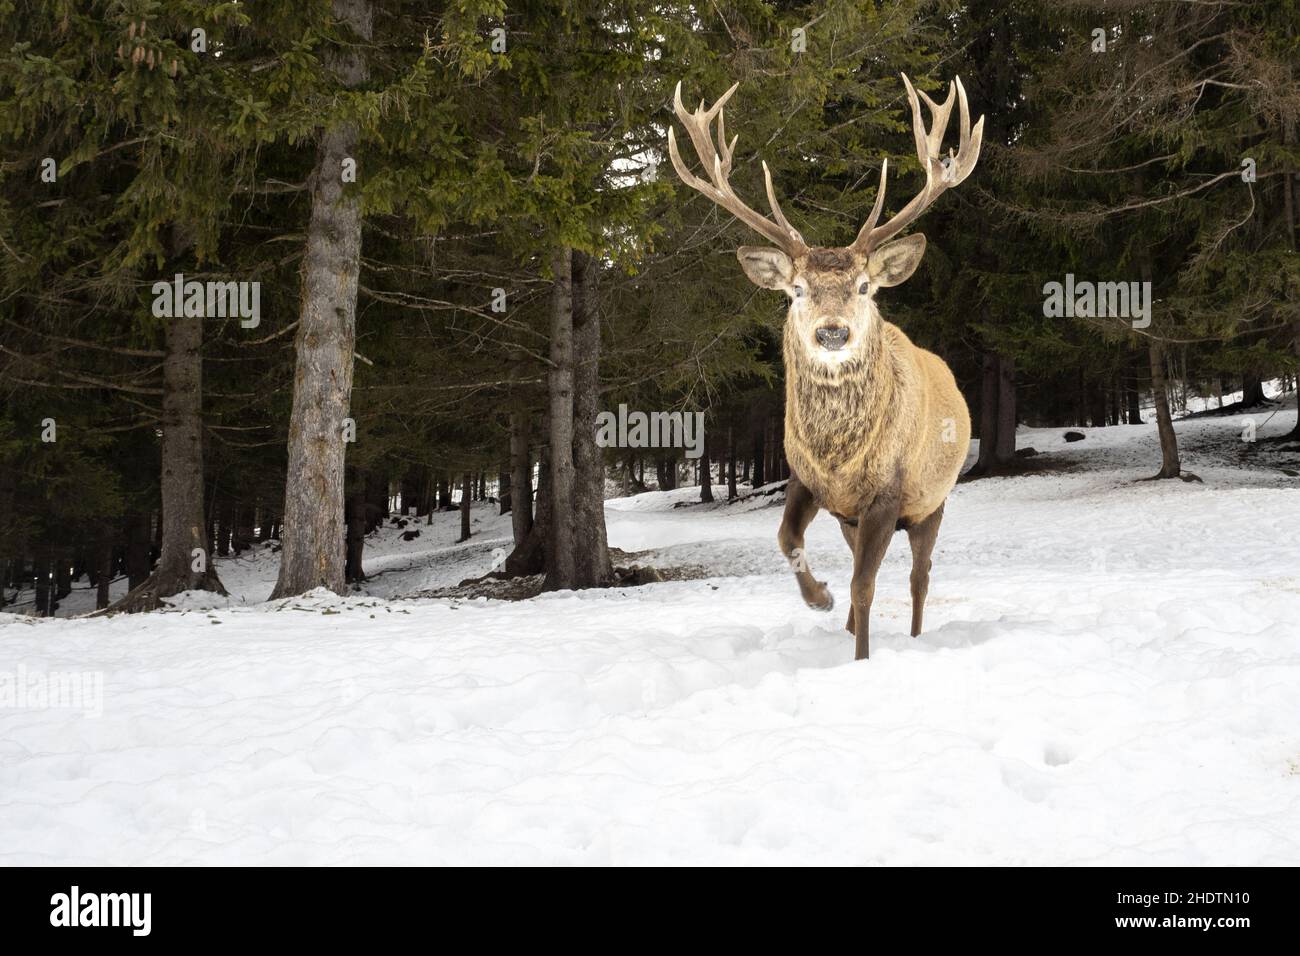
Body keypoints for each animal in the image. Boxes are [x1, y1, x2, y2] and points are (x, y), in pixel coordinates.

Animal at [669, 74, 983, 660]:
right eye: (796, 289)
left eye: (863, 287)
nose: (832, 331)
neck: (839, 457)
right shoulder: (806, 479)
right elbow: (787, 538)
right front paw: (820, 599)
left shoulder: (888, 491)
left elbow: (866, 584)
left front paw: (860, 658)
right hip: (854, 517)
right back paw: (844, 625)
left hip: (934, 500)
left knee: (919, 577)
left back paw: (913, 636)